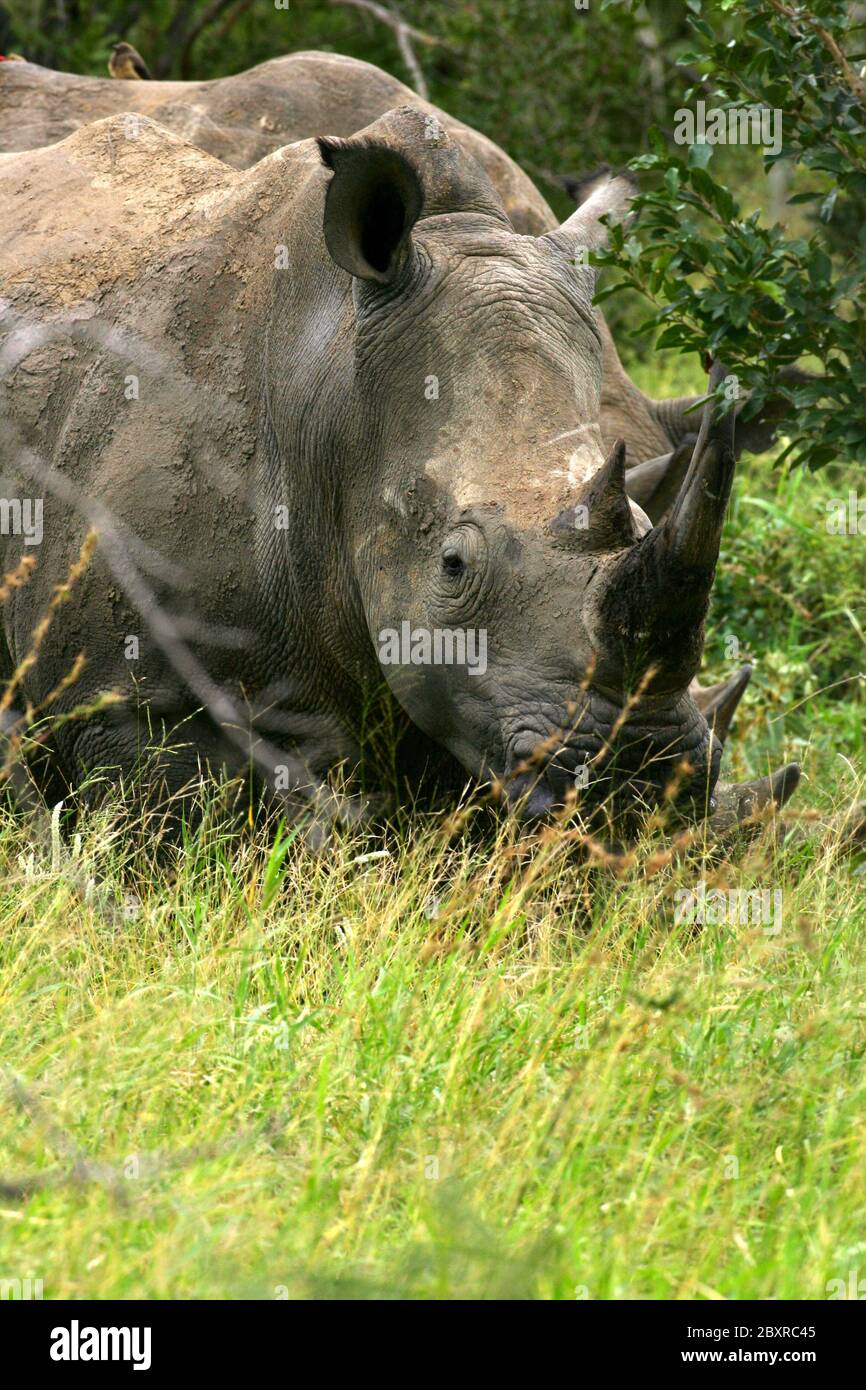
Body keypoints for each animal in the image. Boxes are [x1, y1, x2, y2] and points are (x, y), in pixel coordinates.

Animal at [0, 105, 802, 844]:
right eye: (452, 564)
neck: (327, 394)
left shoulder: (461, 716)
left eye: (640, 522)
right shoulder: (118, 697)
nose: (641, 779)